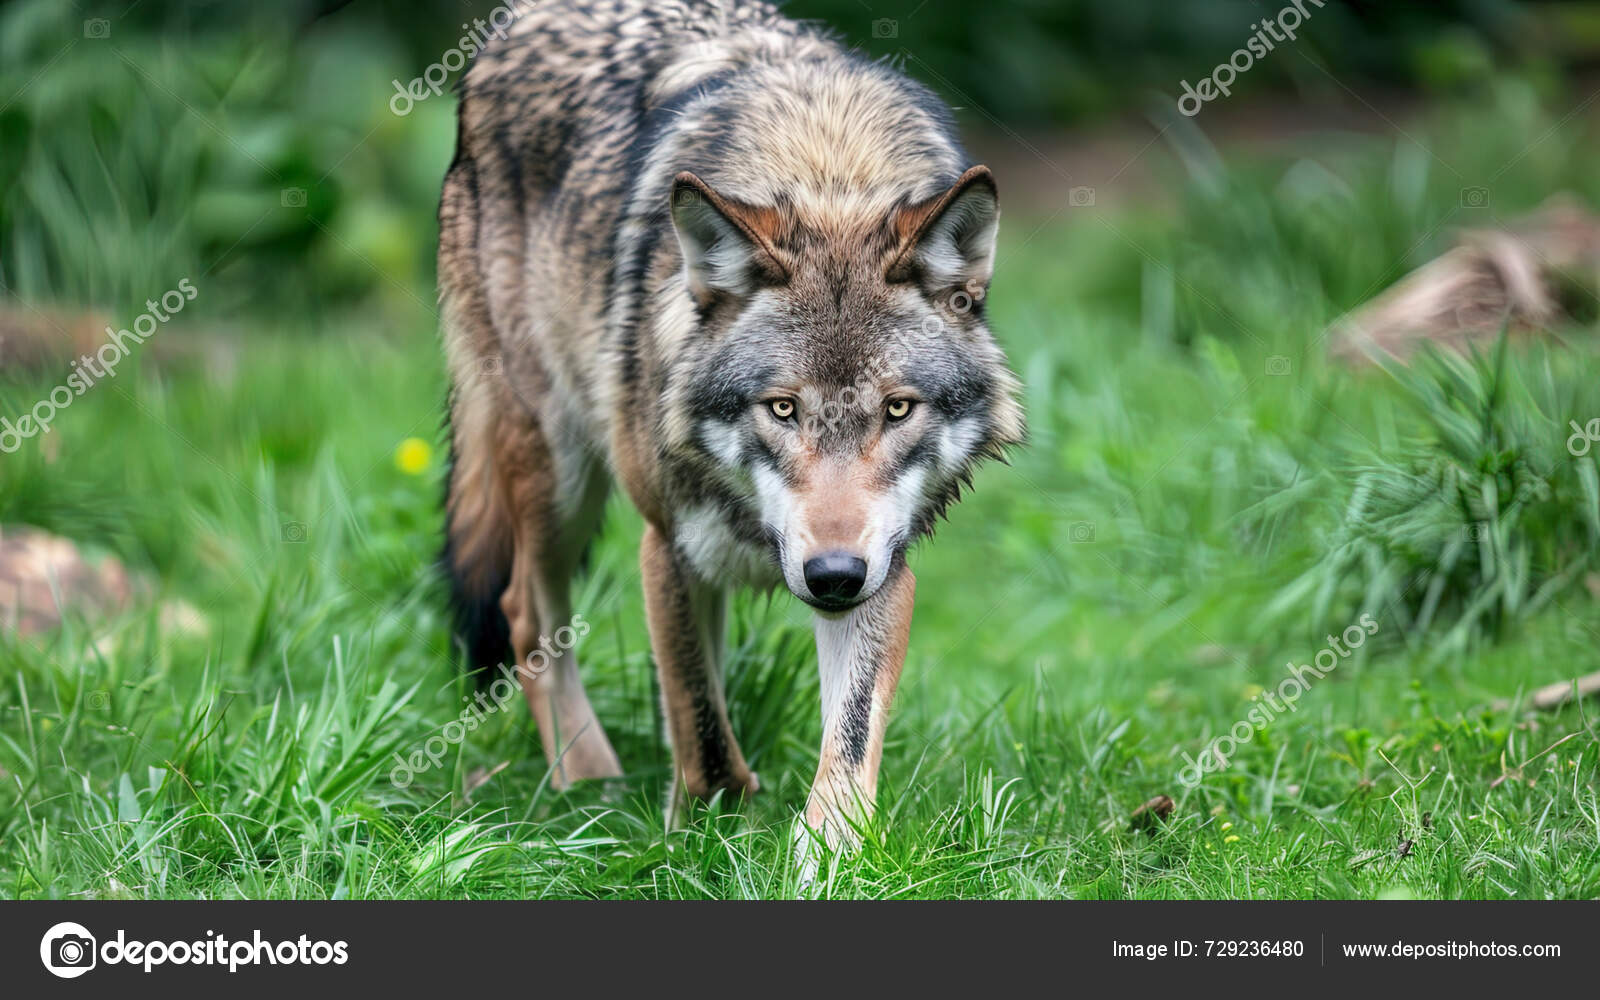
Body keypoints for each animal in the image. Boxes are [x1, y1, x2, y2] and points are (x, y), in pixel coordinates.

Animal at [438, 0, 1023, 854]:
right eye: (781, 408)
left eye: (896, 409)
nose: (832, 575)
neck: (826, 172)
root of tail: (515, 21)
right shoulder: (668, 547)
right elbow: (703, 726)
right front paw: (704, 839)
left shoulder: (886, 566)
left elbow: (849, 739)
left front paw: (828, 858)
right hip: (558, 474)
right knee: (523, 613)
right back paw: (589, 784)